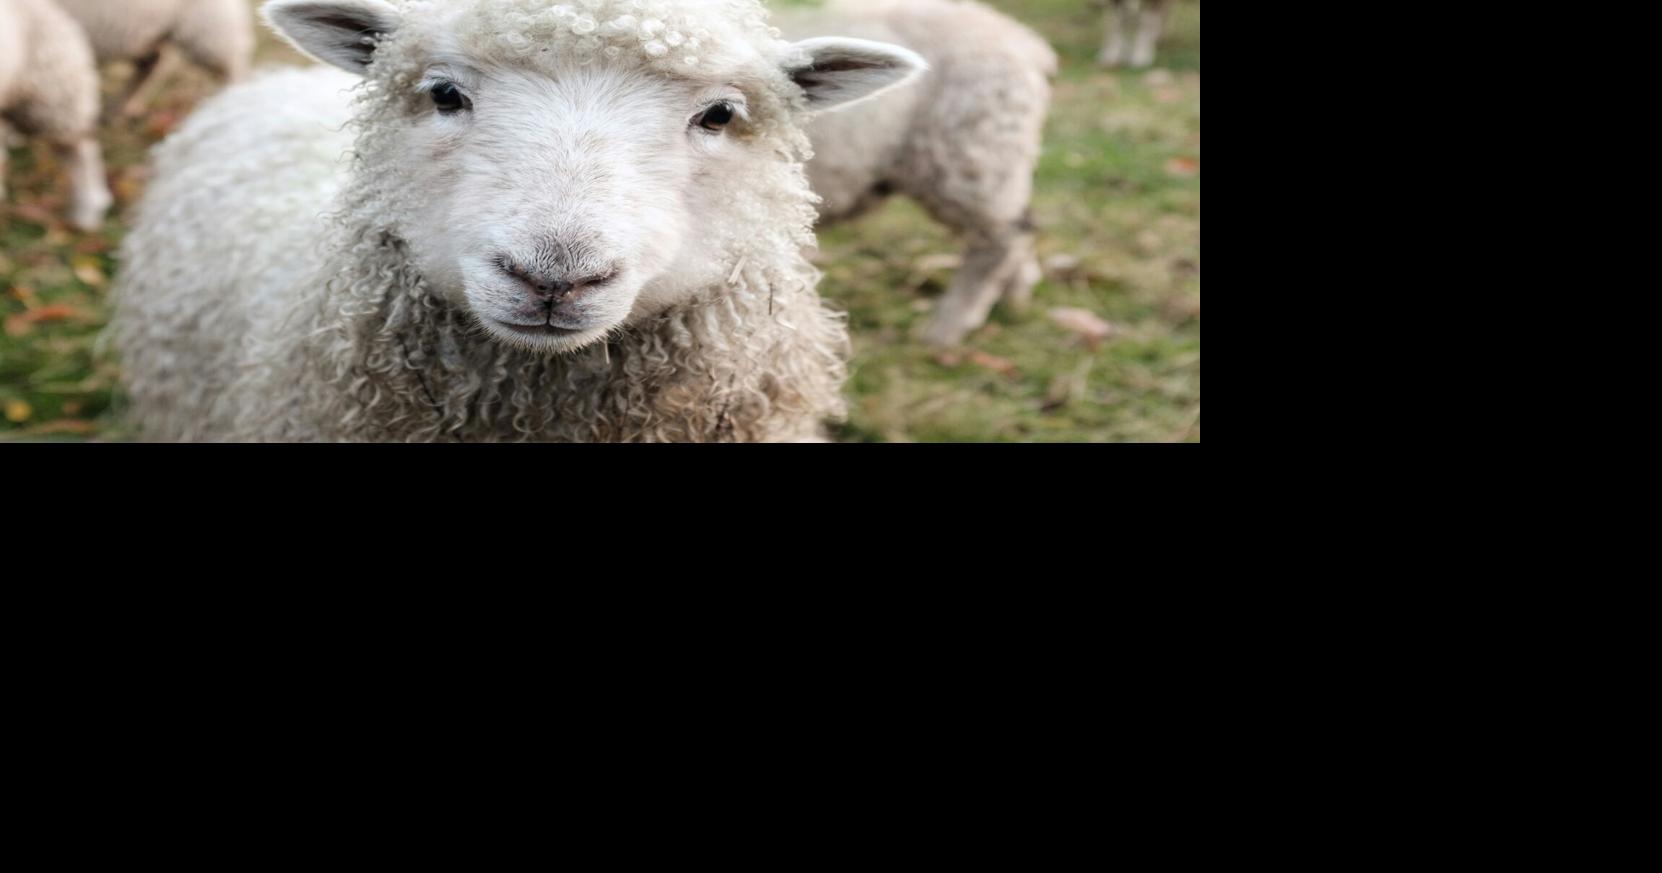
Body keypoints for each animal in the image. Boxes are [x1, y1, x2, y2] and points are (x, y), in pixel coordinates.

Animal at [778, 0, 1055, 347]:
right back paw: (1016, 298)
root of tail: (1025, 41)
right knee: (1019, 226)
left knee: (1003, 239)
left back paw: (946, 329)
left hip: (969, 156)